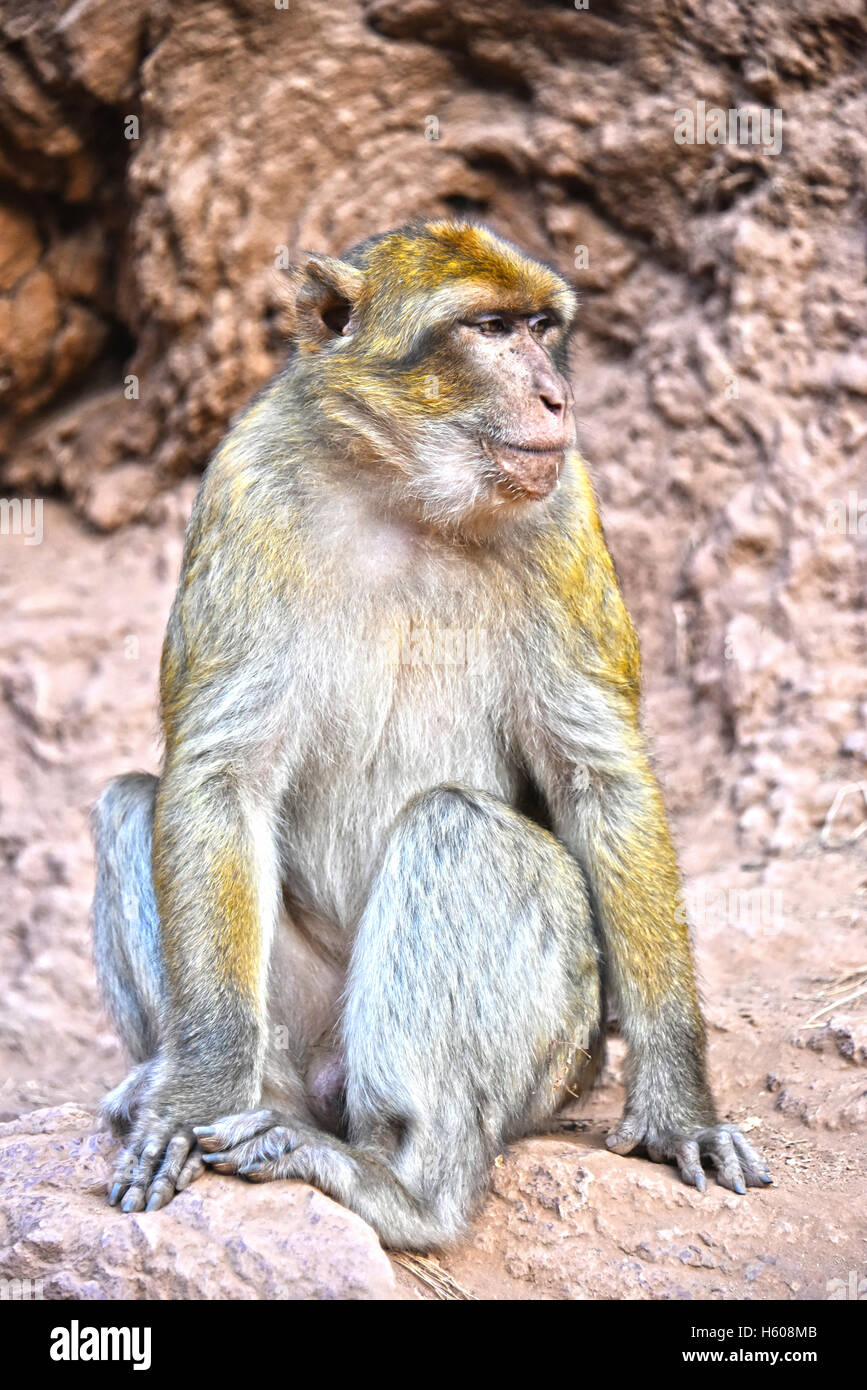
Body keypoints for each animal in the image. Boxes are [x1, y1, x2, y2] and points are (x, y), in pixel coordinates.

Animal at [91, 220, 771, 1250]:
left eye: (540, 326)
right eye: (488, 329)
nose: (556, 395)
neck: (401, 492)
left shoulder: (565, 505)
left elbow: (597, 778)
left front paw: (677, 1107)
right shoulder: (245, 486)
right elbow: (219, 777)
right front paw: (196, 1091)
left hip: (559, 1051)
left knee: (457, 826)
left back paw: (407, 1187)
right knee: (135, 800)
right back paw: (227, 1098)